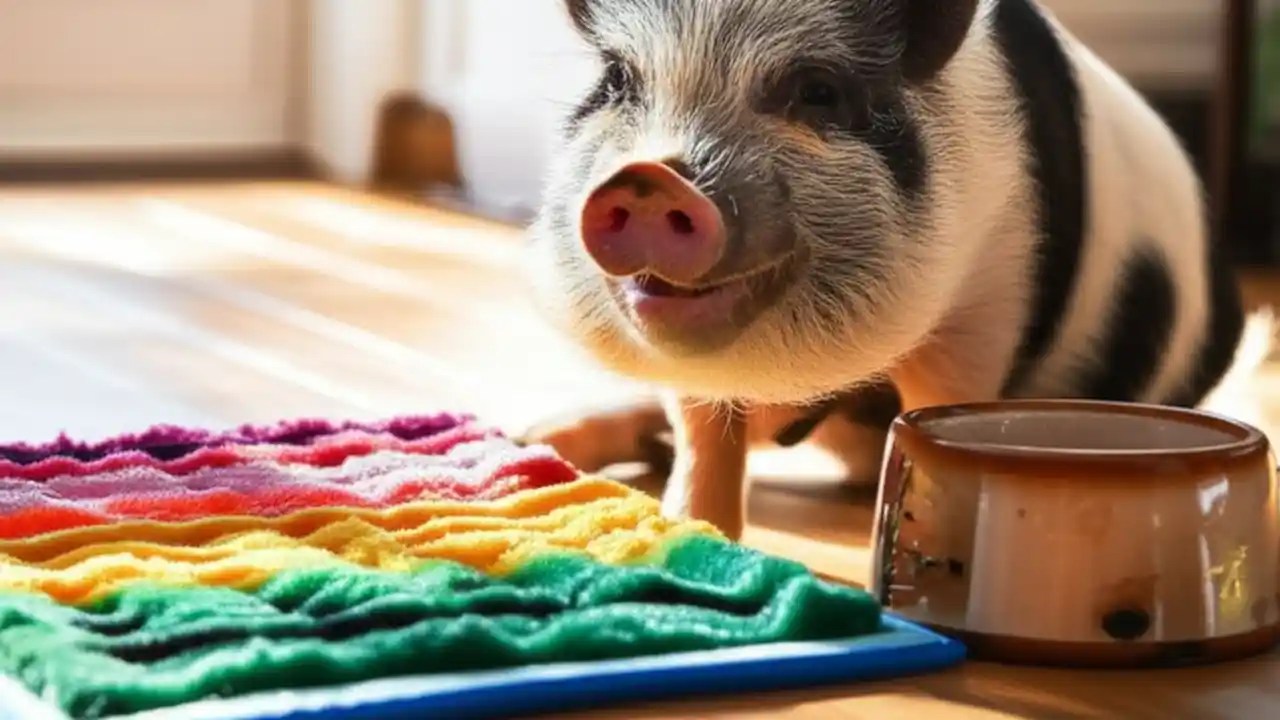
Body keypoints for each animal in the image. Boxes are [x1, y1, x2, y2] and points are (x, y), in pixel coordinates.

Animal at [521, 0, 1270, 541]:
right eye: (619, 80)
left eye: (817, 91)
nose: (651, 179)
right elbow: (703, 433)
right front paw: (696, 533)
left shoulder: (985, 311)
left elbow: (934, 415)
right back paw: (540, 437)